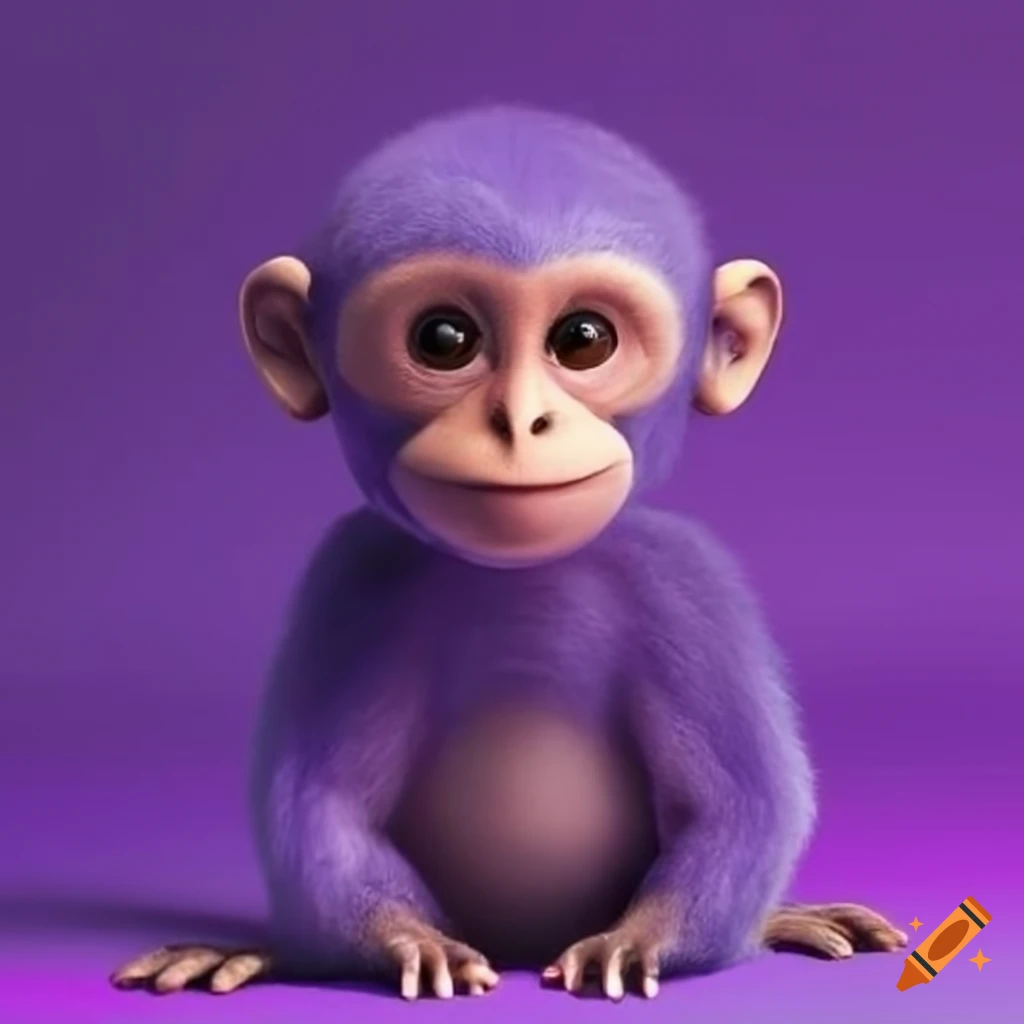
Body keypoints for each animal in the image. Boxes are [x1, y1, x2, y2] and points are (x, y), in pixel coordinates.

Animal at [111, 106, 907, 1002]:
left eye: (584, 339)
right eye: (444, 338)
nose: (520, 422)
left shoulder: (682, 579)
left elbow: (742, 804)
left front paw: (637, 939)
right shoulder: (353, 574)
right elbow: (324, 801)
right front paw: (412, 942)